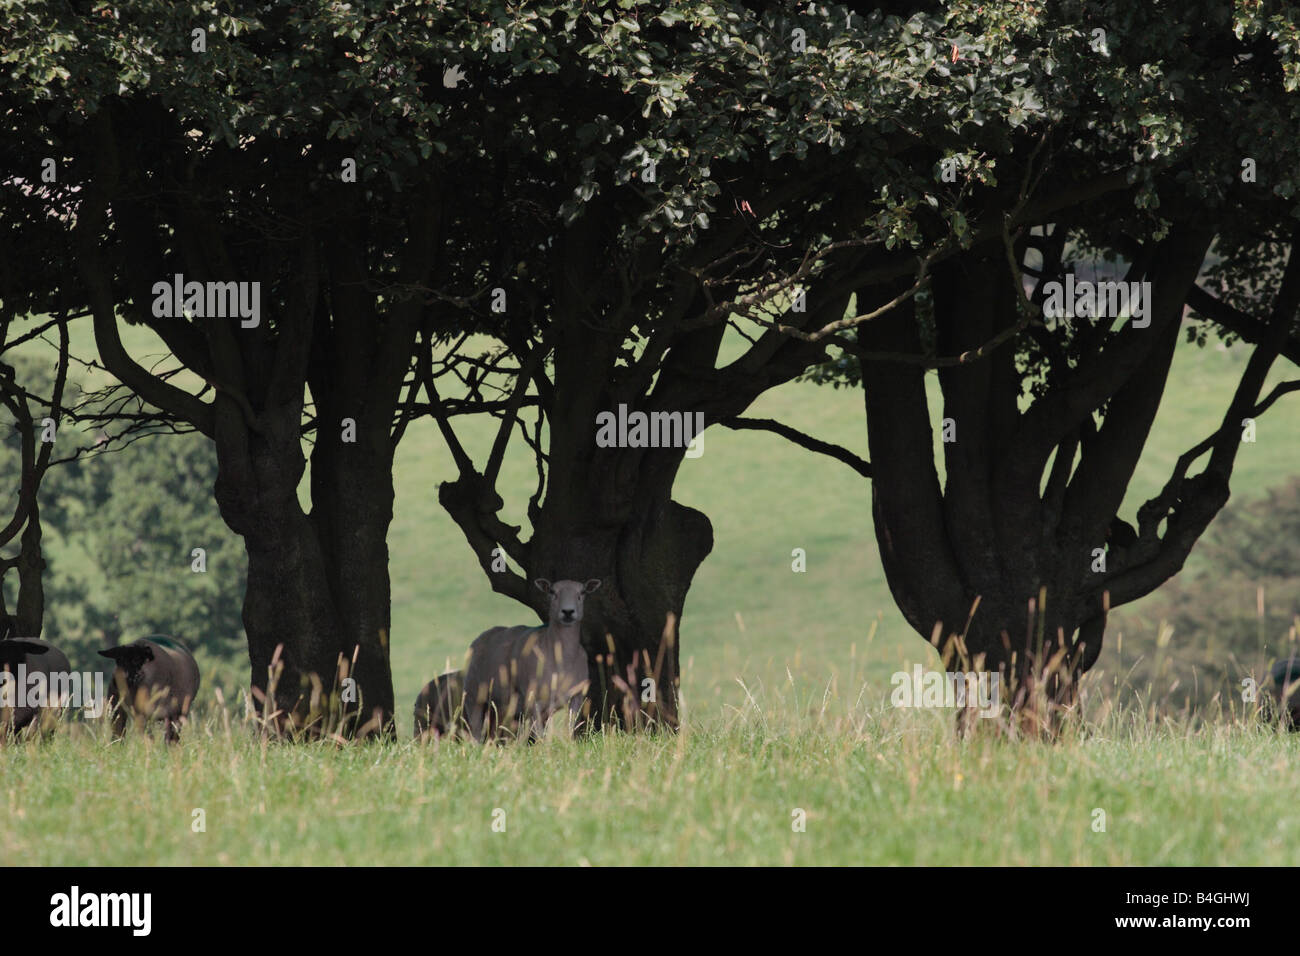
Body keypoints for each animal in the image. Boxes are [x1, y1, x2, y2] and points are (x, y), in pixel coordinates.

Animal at [462, 578, 599, 742]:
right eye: (552, 592)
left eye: (582, 593)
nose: (568, 611)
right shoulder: (532, 696)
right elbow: (539, 734)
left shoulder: (576, 695)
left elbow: (570, 728)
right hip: (474, 695)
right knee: (476, 732)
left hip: (503, 706)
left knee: (495, 733)